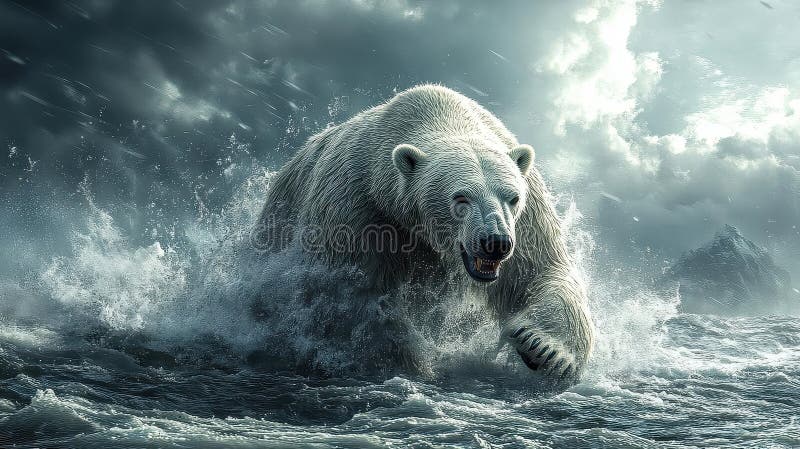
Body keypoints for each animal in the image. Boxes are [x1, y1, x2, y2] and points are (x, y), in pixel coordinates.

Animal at [253, 84, 594, 380]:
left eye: (512, 197)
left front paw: (543, 349)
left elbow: (538, 271)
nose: (496, 242)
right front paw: (411, 364)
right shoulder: (357, 207)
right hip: (280, 217)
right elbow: (349, 295)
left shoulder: (526, 216)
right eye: (461, 198)